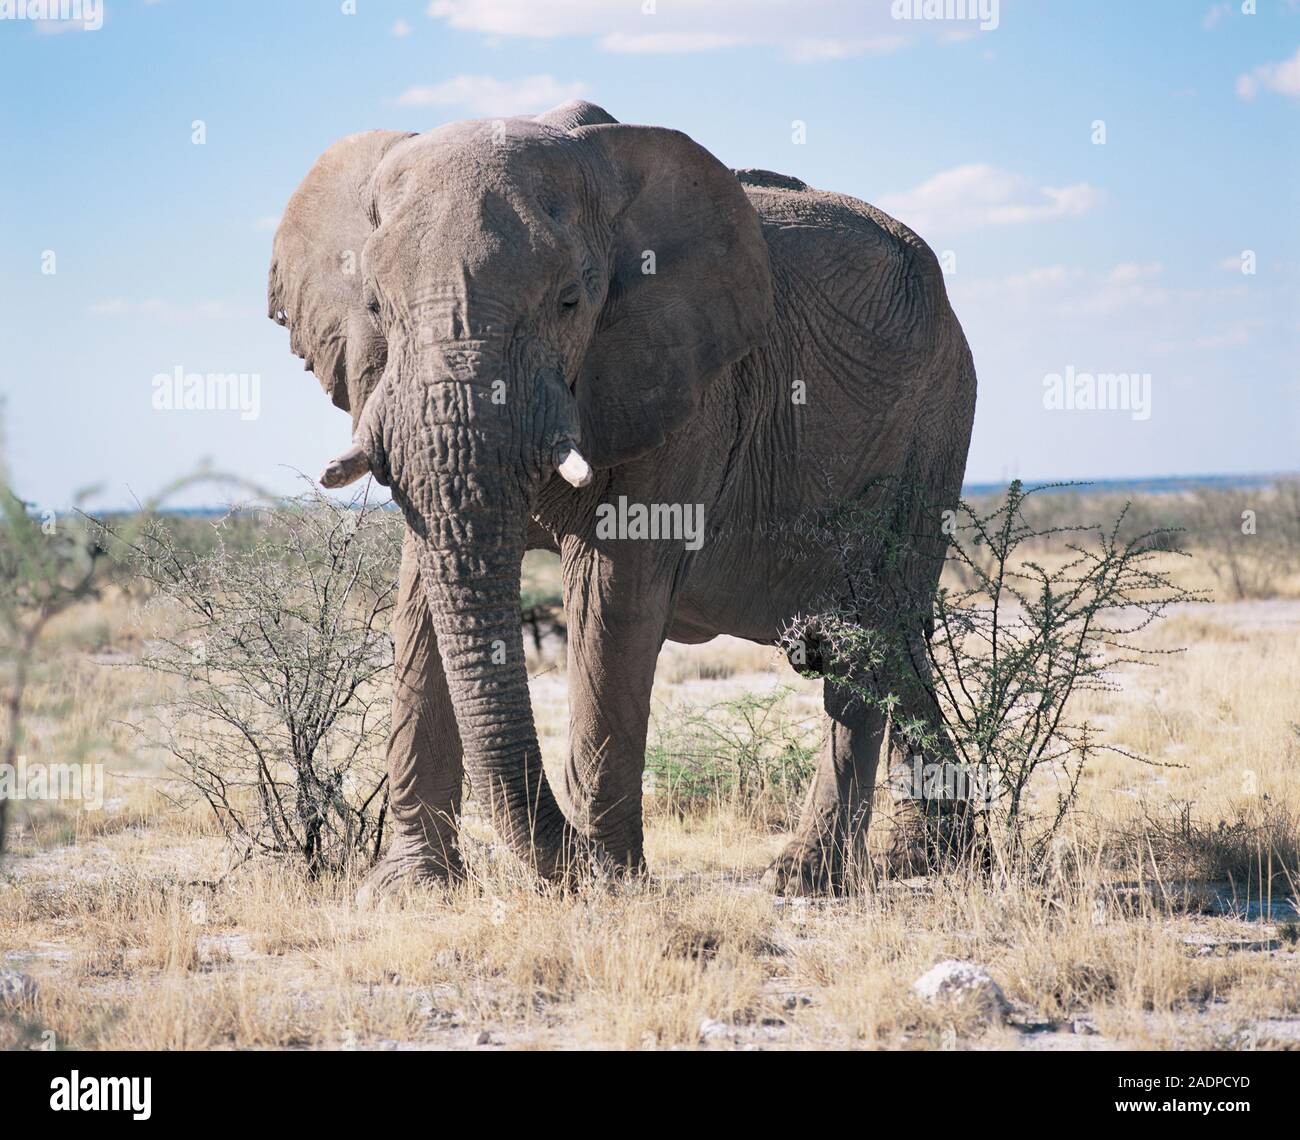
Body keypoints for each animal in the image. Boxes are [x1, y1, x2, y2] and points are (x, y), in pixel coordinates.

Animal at [267, 100, 976, 898]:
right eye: (375, 307)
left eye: (570, 302)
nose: (564, 860)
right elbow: (421, 600)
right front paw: (410, 890)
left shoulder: (684, 382)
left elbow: (613, 596)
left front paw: (605, 883)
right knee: (888, 646)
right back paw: (930, 857)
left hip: (934, 421)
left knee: (872, 631)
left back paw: (807, 877)